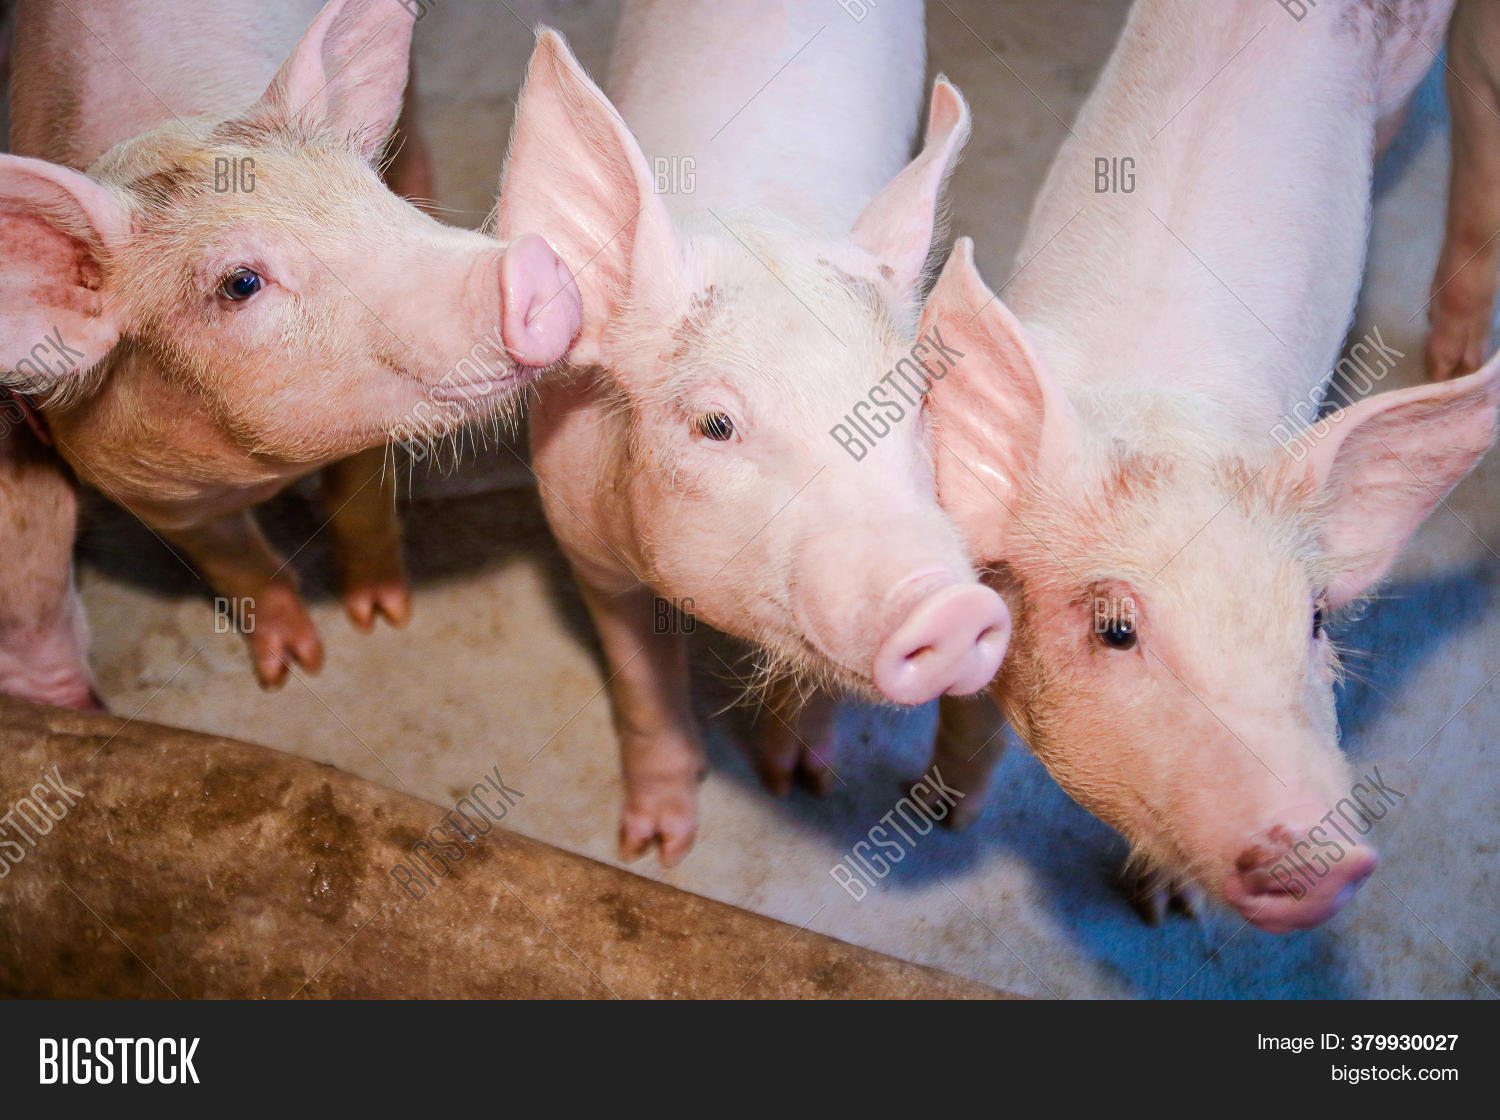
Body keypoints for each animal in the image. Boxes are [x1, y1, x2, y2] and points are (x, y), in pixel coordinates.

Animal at [0, 0, 581, 698]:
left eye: (372, 195)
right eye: (241, 283)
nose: (532, 260)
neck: (259, 472)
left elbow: (362, 504)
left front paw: (383, 614)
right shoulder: (140, 490)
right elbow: (237, 565)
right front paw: (292, 667)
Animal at [498, 2, 1010, 865]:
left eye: (914, 408)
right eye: (716, 424)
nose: (951, 607)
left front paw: (798, 783)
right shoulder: (579, 537)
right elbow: (641, 684)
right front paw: (655, 847)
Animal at [918, 0, 1498, 932]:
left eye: (1314, 621)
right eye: (1115, 628)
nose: (1325, 857)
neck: (1170, 408)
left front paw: (1164, 911)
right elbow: (964, 704)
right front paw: (944, 816)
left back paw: (1453, 358)